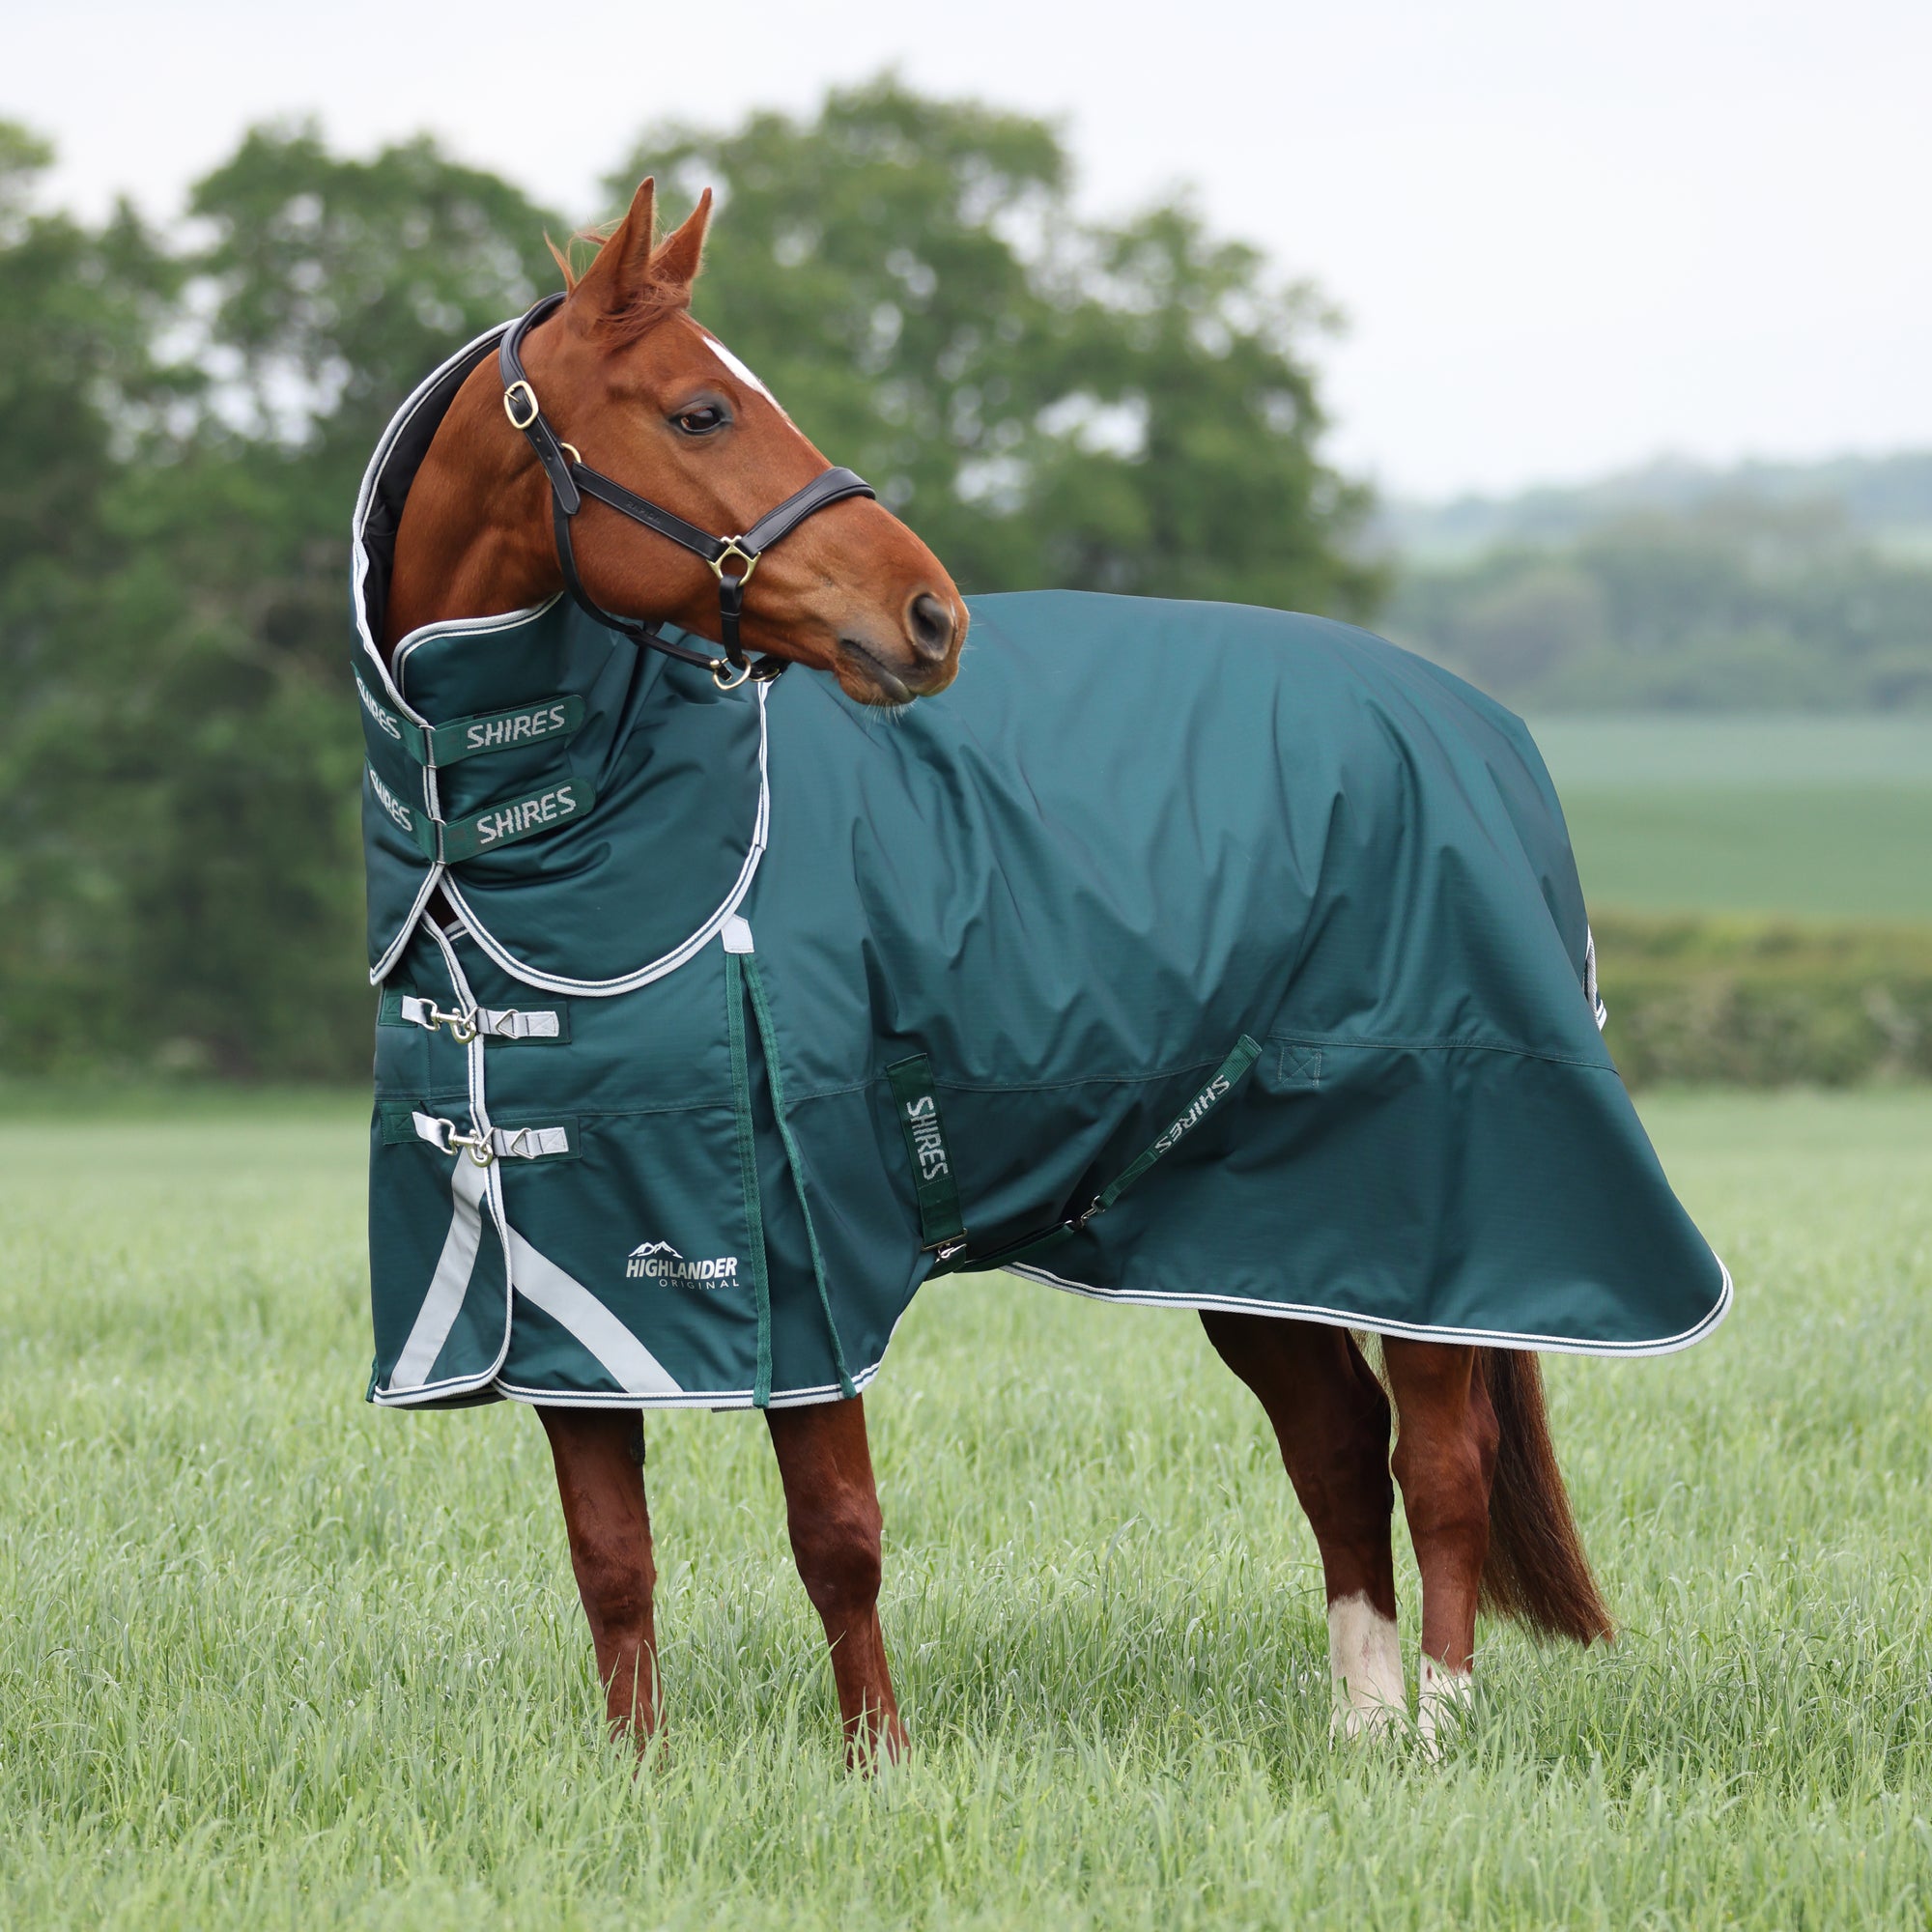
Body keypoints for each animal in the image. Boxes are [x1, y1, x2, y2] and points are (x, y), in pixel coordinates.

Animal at [361, 177, 1725, 1762]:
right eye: (700, 411)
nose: (929, 617)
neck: (531, 848)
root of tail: (1477, 725)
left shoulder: (803, 1249)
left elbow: (836, 1531)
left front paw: (877, 1763)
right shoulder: (574, 1303)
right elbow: (611, 1558)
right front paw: (638, 1772)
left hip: (1440, 1194)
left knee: (1441, 1455)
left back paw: (1435, 1724)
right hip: (1250, 1226)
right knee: (1338, 1445)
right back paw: (1365, 1721)